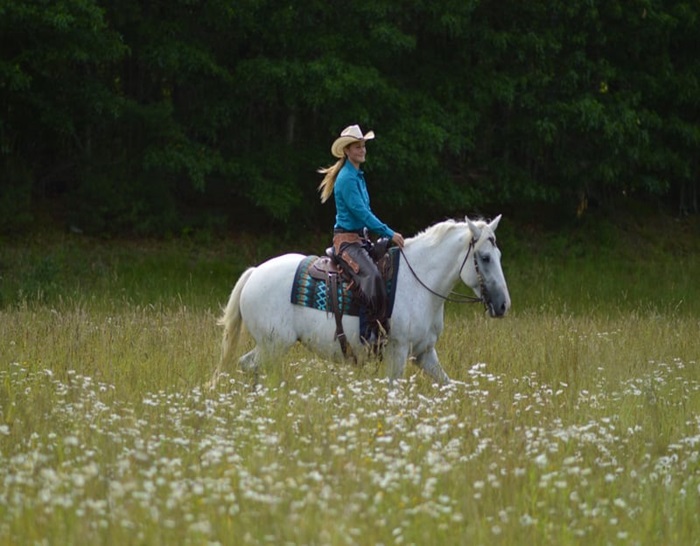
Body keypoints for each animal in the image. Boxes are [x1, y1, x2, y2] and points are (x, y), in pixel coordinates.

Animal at [212, 215, 510, 386]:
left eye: (498, 255)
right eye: (485, 257)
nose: (503, 305)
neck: (419, 282)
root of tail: (254, 273)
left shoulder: (425, 352)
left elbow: (449, 385)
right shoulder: (397, 351)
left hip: (270, 345)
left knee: (249, 366)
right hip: (274, 344)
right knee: (252, 366)